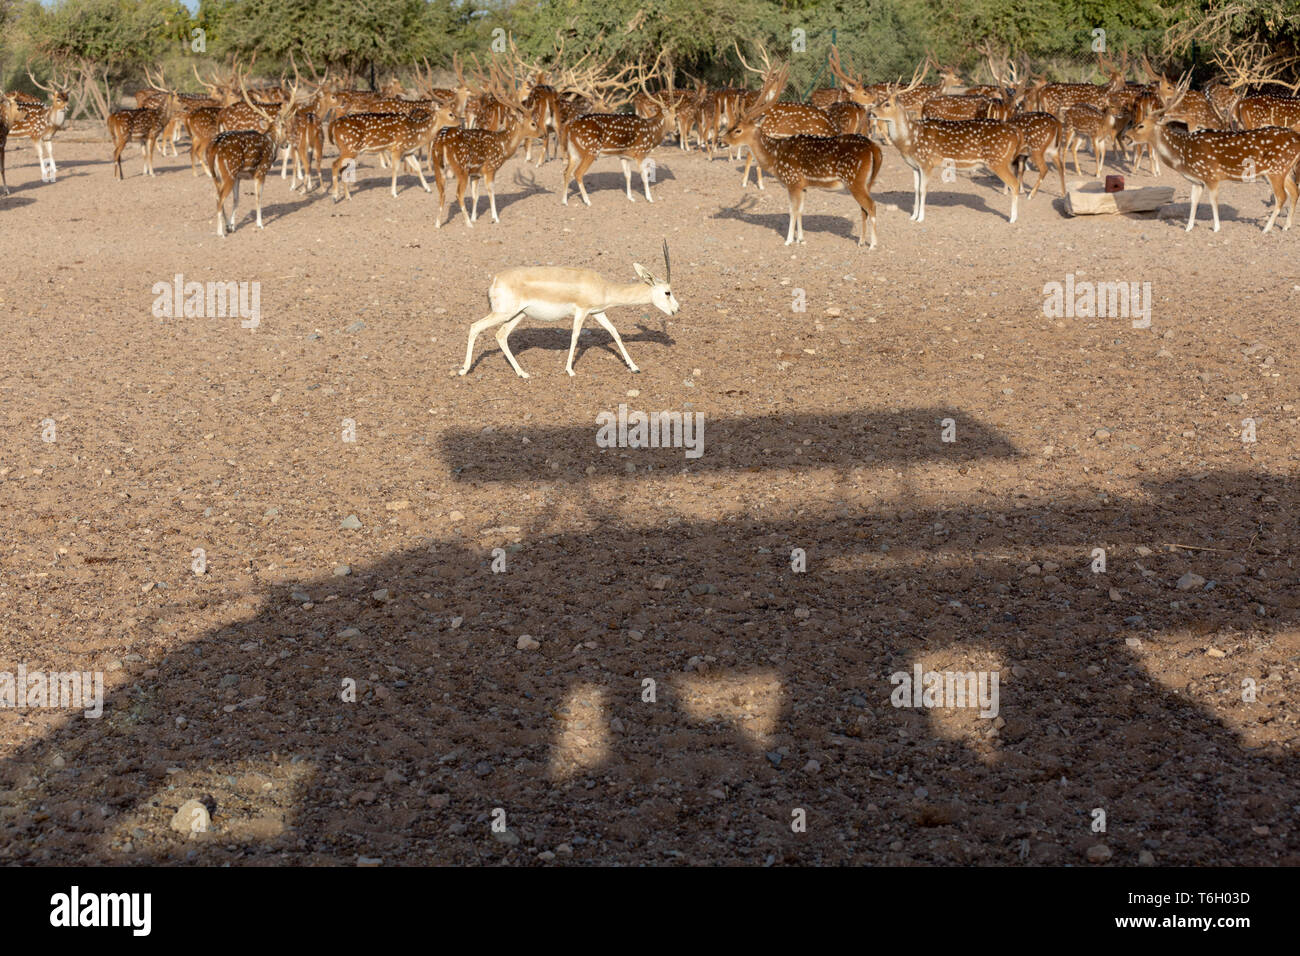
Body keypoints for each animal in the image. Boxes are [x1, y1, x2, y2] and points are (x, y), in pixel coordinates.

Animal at [431, 64, 540, 227]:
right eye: (533, 123)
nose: (544, 133)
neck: (503, 146)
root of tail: (442, 141)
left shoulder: (475, 174)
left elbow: (475, 195)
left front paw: (475, 217)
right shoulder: (490, 168)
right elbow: (490, 191)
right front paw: (495, 218)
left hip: (438, 167)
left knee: (442, 193)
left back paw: (438, 224)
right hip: (461, 168)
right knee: (458, 194)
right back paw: (468, 224)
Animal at [459, 241, 677, 379]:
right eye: (667, 292)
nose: (676, 309)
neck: (603, 286)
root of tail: (496, 280)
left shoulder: (597, 312)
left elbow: (615, 333)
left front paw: (634, 367)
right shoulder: (581, 312)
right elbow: (575, 336)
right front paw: (570, 370)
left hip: (517, 315)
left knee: (500, 335)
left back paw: (522, 373)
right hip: (503, 313)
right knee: (475, 327)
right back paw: (464, 370)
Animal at [721, 59, 882, 247]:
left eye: (738, 130)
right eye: (732, 126)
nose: (721, 141)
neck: (774, 158)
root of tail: (875, 149)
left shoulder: (792, 181)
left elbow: (792, 210)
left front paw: (789, 240)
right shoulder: (803, 186)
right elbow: (801, 210)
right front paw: (801, 239)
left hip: (854, 180)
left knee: (871, 205)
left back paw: (873, 244)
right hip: (867, 182)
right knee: (864, 208)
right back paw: (861, 242)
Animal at [873, 65, 1024, 224]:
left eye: (887, 104)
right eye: (880, 101)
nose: (871, 112)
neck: (909, 141)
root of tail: (1016, 132)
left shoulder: (927, 163)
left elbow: (923, 190)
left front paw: (920, 218)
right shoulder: (914, 166)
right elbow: (916, 189)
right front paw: (913, 216)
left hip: (998, 161)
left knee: (1014, 183)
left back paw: (1012, 219)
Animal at [1127, 74, 1300, 232]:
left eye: (1141, 125)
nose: (1127, 136)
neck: (1183, 155)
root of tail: (1297, 139)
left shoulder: (1211, 175)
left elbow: (1213, 200)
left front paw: (1216, 227)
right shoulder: (1196, 180)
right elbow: (1194, 201)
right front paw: (1188, 228)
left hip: (1276, 170)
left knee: (1281, 197)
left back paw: (1266, 228)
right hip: (1283, 170)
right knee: (1293, 192)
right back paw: (1286, 226)